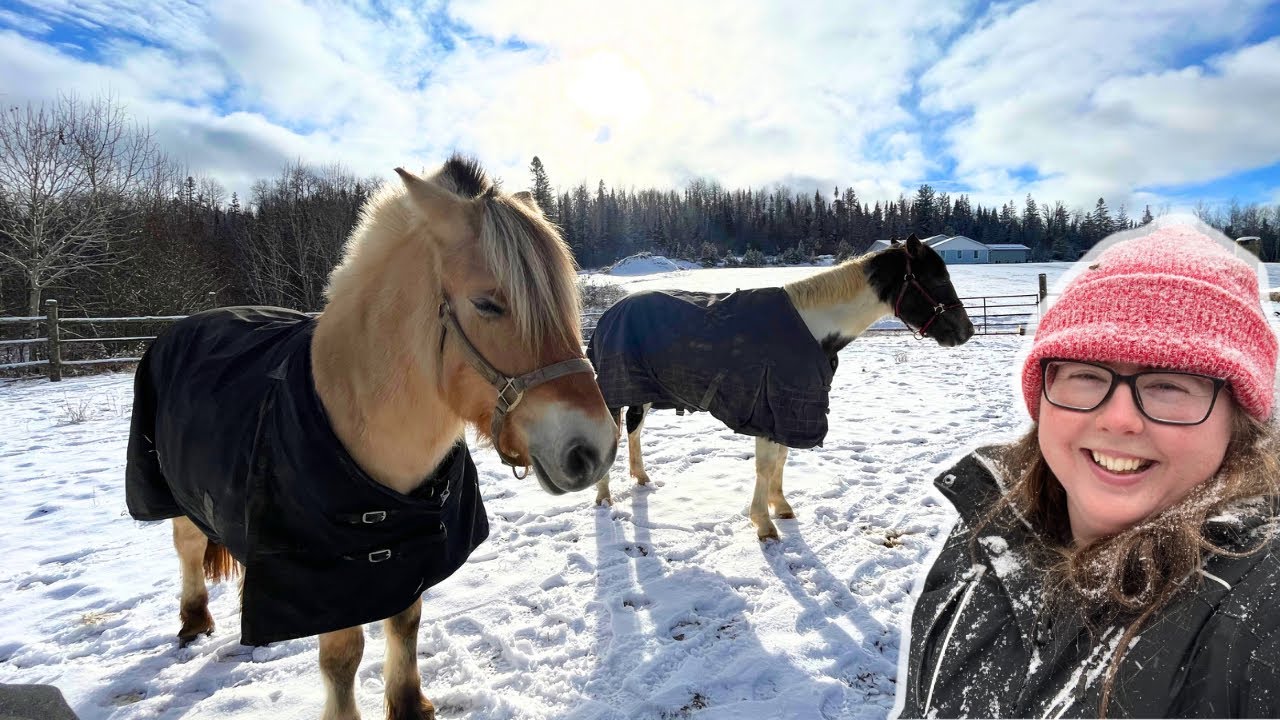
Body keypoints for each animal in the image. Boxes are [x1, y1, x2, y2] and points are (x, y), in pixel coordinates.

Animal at [125, 156, 618, 720]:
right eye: (487, 304)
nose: (594, 448)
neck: (352, 406)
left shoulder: (408, 553)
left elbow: (405, 622)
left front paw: (408, 703)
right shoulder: (330, 580)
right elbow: (342, 657)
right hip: (175, 493)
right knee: (187, 546)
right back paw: (193, 622)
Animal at [587, 234, 973, 541]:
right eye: (936, 279)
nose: (965, 331)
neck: (811, 329)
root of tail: (610, 313)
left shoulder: (789, 410)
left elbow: (781, 460)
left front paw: (780, 505)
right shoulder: (766, 408)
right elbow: (765, 464)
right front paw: (763, 523)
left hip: (643, 392)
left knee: (635, 431)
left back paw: (640, 477)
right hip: (613, 392)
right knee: (614, 434)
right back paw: (603, 496)